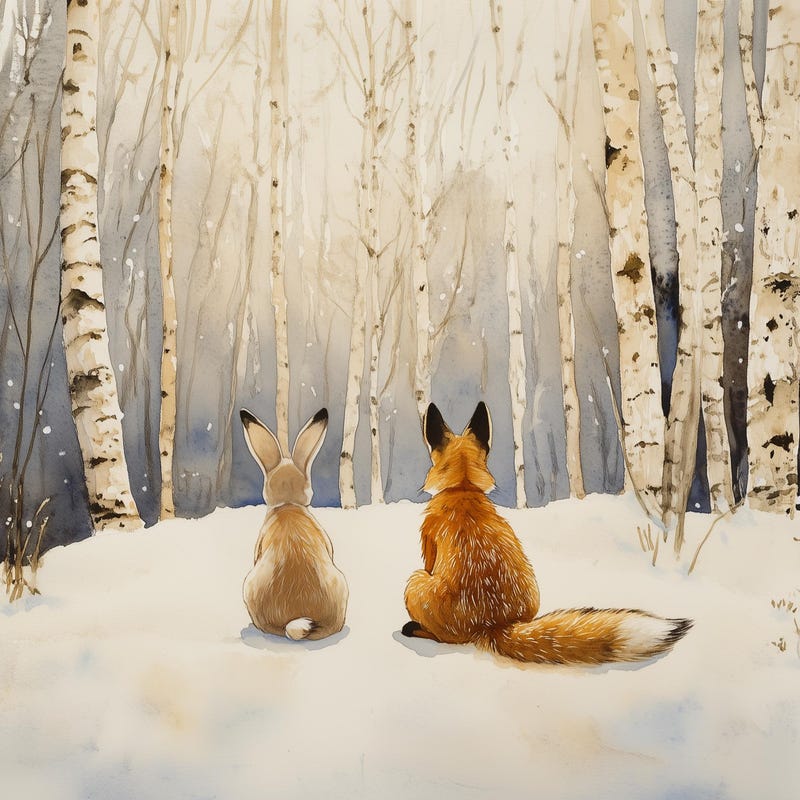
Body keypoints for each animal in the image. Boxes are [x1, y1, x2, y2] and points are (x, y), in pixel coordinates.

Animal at [402, 401, 692, 664]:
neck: (463, 488)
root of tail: (495, 625)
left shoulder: (428, 549)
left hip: (414, 581)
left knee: (445, 637)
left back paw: (414, 629)